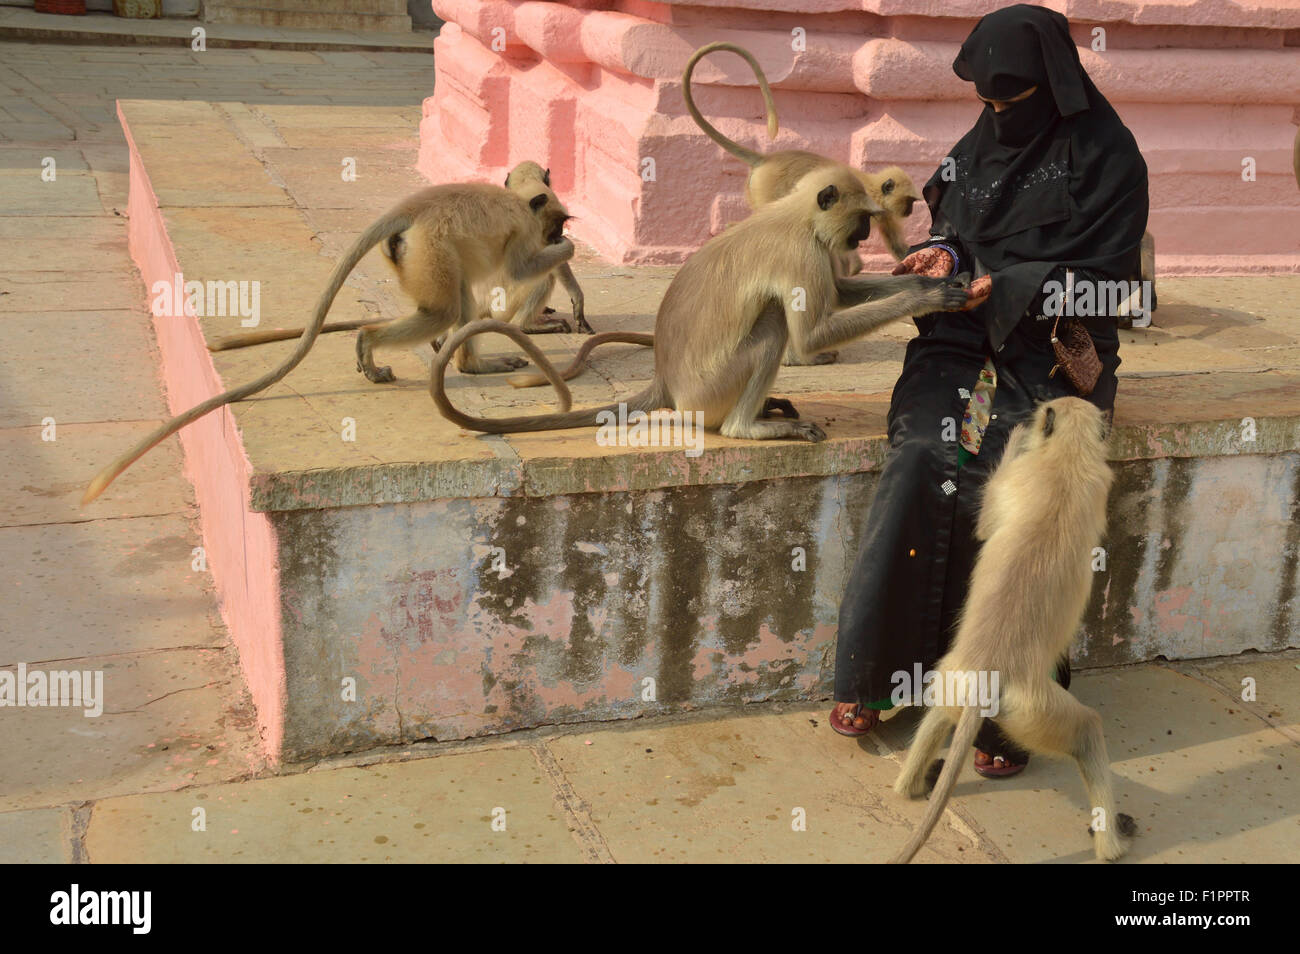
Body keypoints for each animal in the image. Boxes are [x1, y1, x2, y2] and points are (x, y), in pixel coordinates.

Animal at [81, 182, 575, 505]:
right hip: (430, 248)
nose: (556, 236)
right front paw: (567, 253)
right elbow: (518, 269)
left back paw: (469, 364)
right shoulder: (522, 228)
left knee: (459, 306)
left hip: (420, 253)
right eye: (553, 226)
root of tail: (415, 205)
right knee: (444, 312)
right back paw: (369, 343)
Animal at [429, 166, 971, 444]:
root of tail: (667, 384)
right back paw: (747, 428)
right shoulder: (802, 254)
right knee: (774, 327)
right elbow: (810, 334)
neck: (793, 215)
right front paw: (927, 295)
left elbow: (838, 293)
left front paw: (925, 276)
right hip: (712, 388)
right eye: (861, 218)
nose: (860, 236)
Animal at [888, 397, 1136, 864]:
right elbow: (985, 526)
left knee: (940, 712)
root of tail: (992, 672)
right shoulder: (1097, 484)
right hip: (1035, 708)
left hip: (958, 678)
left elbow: (987, 526)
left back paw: (911, 784)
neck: (1065, 457)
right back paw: (1111, 845)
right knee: (1087, 730)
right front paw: (1017, 435)